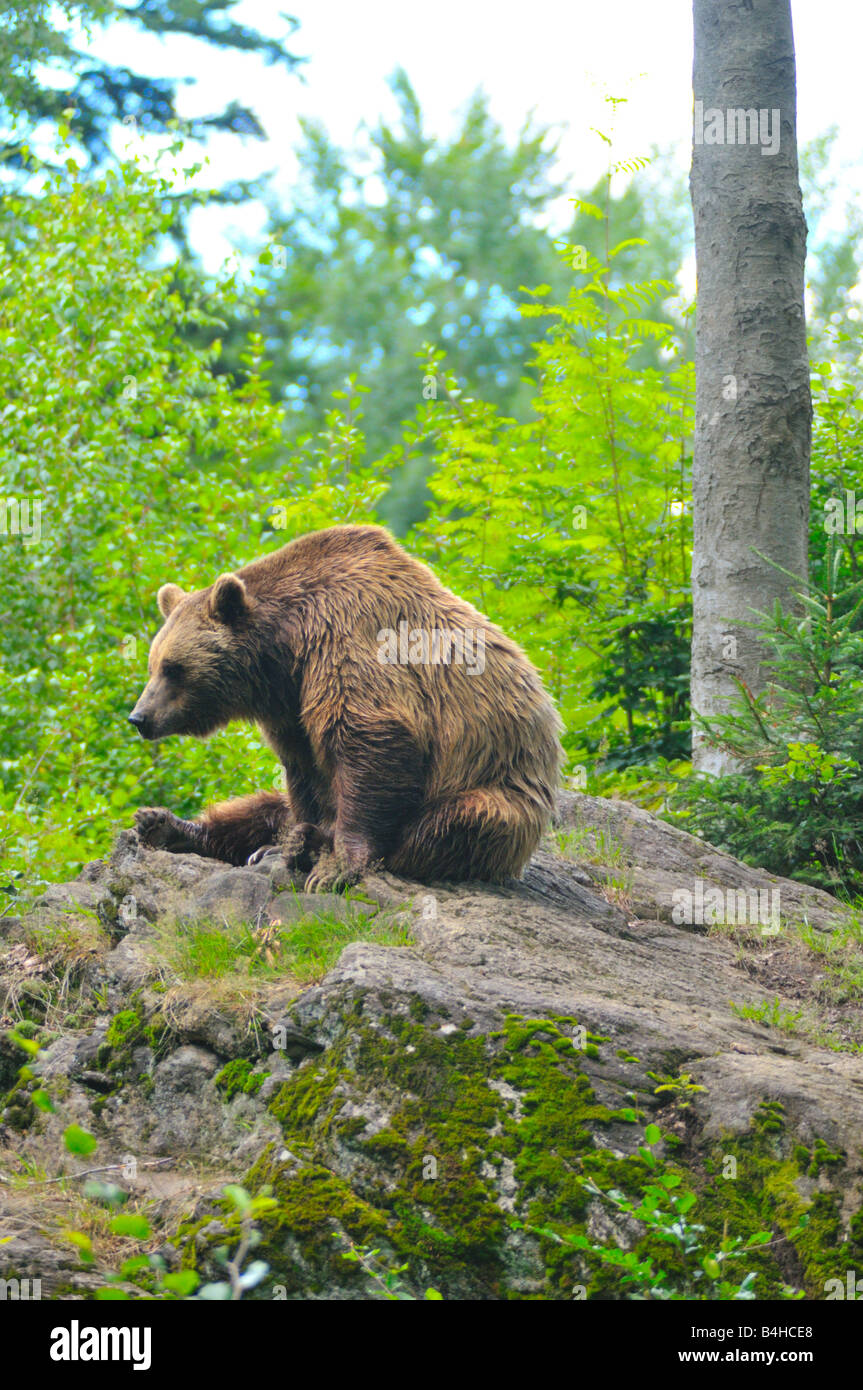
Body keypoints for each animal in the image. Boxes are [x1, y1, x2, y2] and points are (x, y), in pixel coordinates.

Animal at [129, 524, 564, 891]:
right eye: (153, 665)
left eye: (174, 668)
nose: (139, 718)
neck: (284, 648)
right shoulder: (289, 701)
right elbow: (302, 772)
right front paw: (288, 840)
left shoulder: (347, 640)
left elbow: (371, 740)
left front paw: (335, 863)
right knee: (262, 805)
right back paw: (168, 825)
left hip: (499, 789)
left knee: (451, 825)